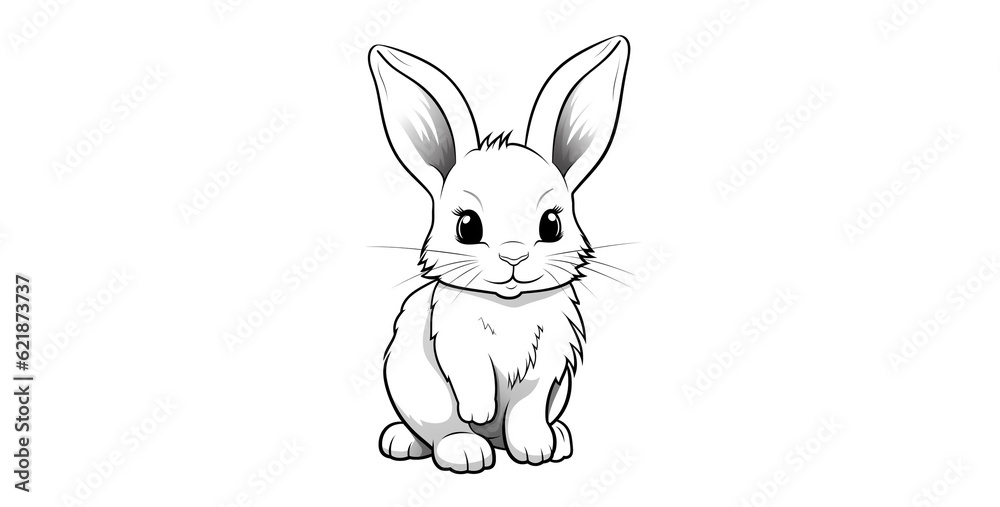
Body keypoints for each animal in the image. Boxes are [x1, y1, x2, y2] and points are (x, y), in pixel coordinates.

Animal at [368, 35, 629, 473]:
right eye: (467, 226)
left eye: (551, 225)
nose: (513, 257)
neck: (509, 306)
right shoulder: (457, 344)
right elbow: (473, 379)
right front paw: (480, 413)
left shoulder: (547, 367)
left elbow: (527, 407)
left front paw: (535, 451)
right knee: (439, 433)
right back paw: (455, 450)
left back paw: (555, 440)